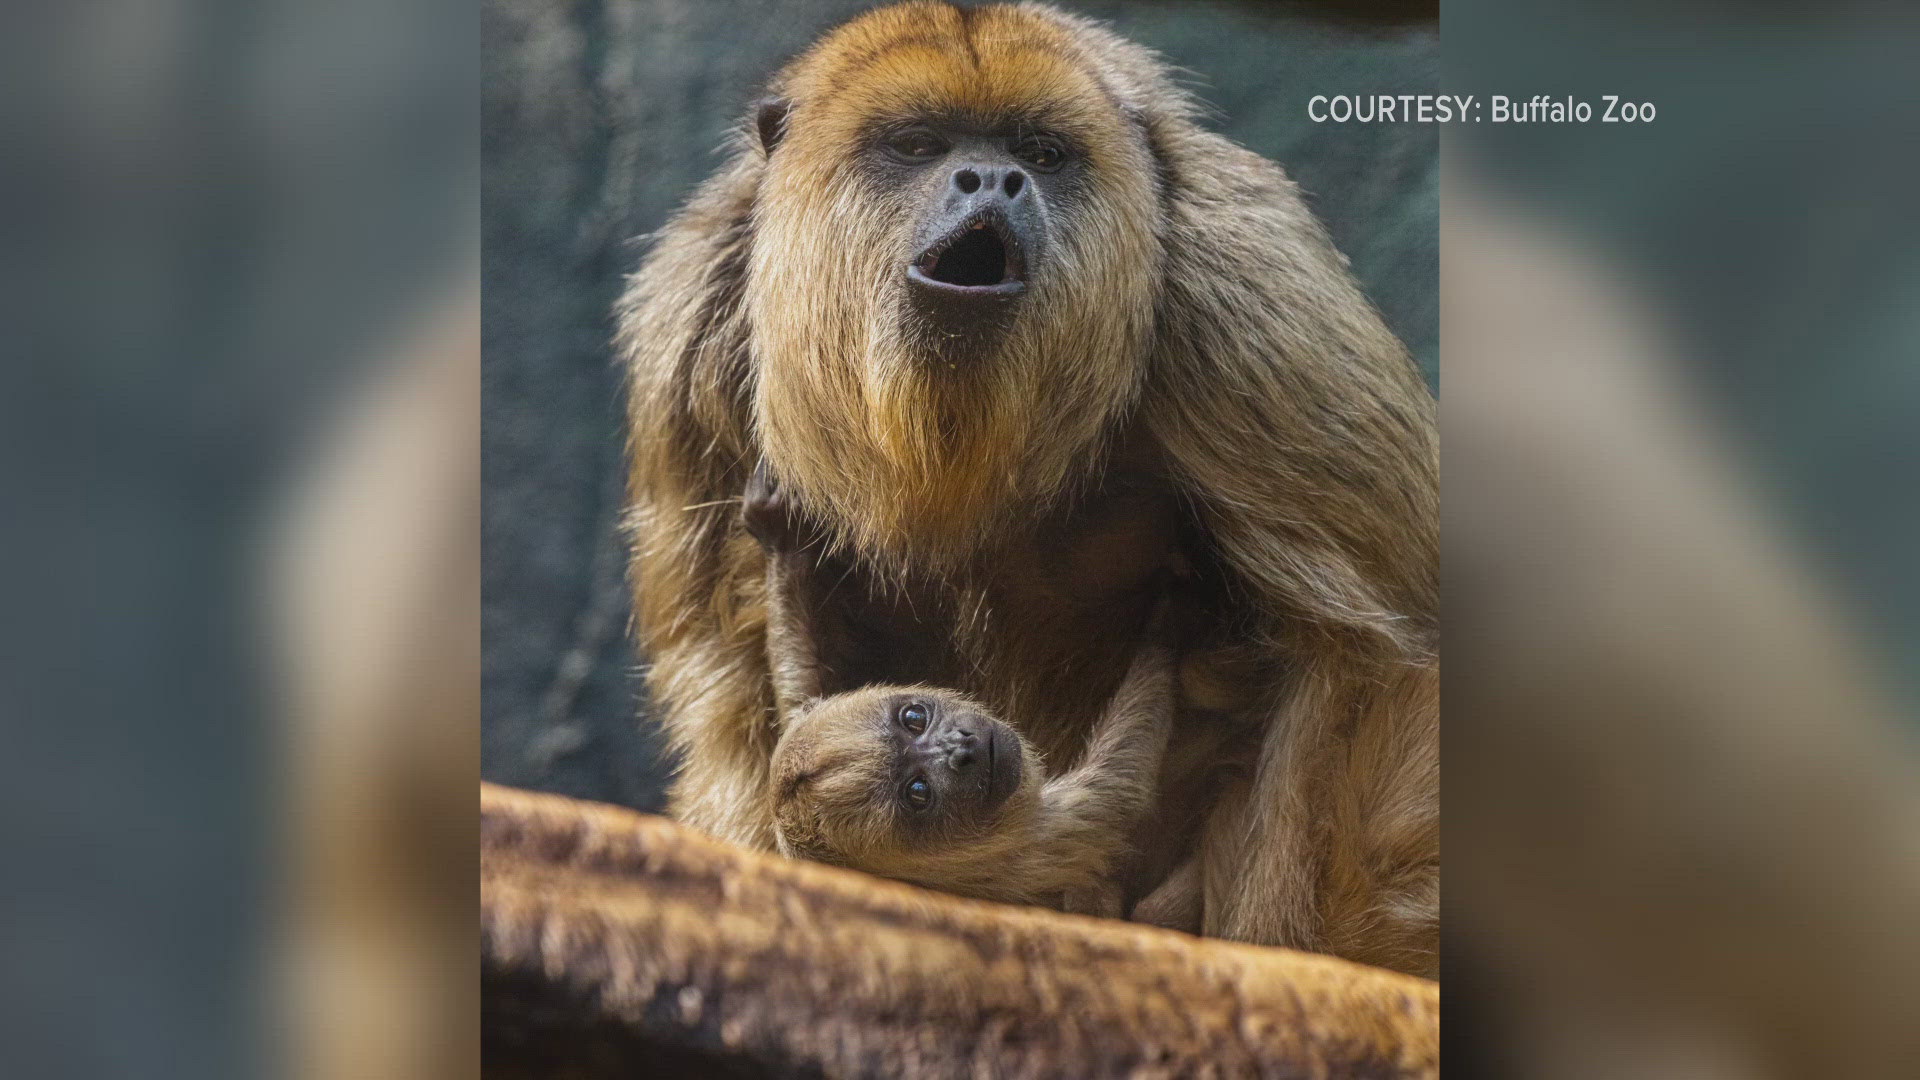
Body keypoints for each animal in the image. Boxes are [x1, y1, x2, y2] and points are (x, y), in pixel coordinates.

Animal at [742, 463, 1191, 920]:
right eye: (918, 792)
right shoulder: (1031, 845)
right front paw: (1167, 621)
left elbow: (798, 685)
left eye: (914, 717)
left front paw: (779, 535)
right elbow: (1120, 791)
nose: (963, 746)